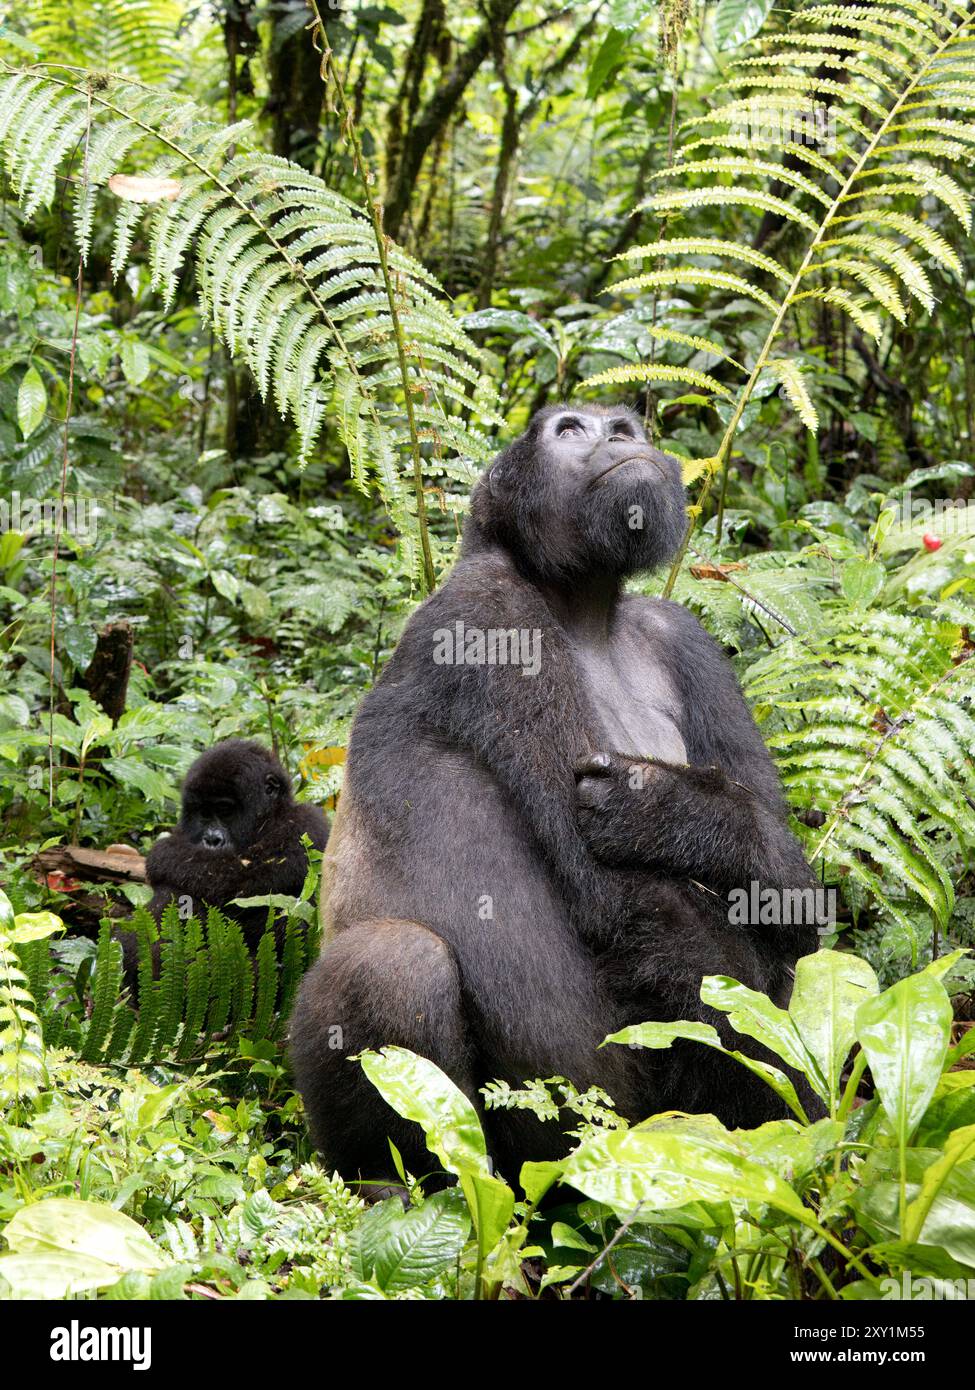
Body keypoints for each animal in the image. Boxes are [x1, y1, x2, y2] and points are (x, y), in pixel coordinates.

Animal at [290, 405, 820, 1190]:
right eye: (570, 431)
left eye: (623, 424)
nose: (620, 435)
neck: (586, 607)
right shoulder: (489, 618)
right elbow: (628, 902)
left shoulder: (683, 637)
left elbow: (783, 895)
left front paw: (675, 811)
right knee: (394, 962)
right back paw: (395, 1182)